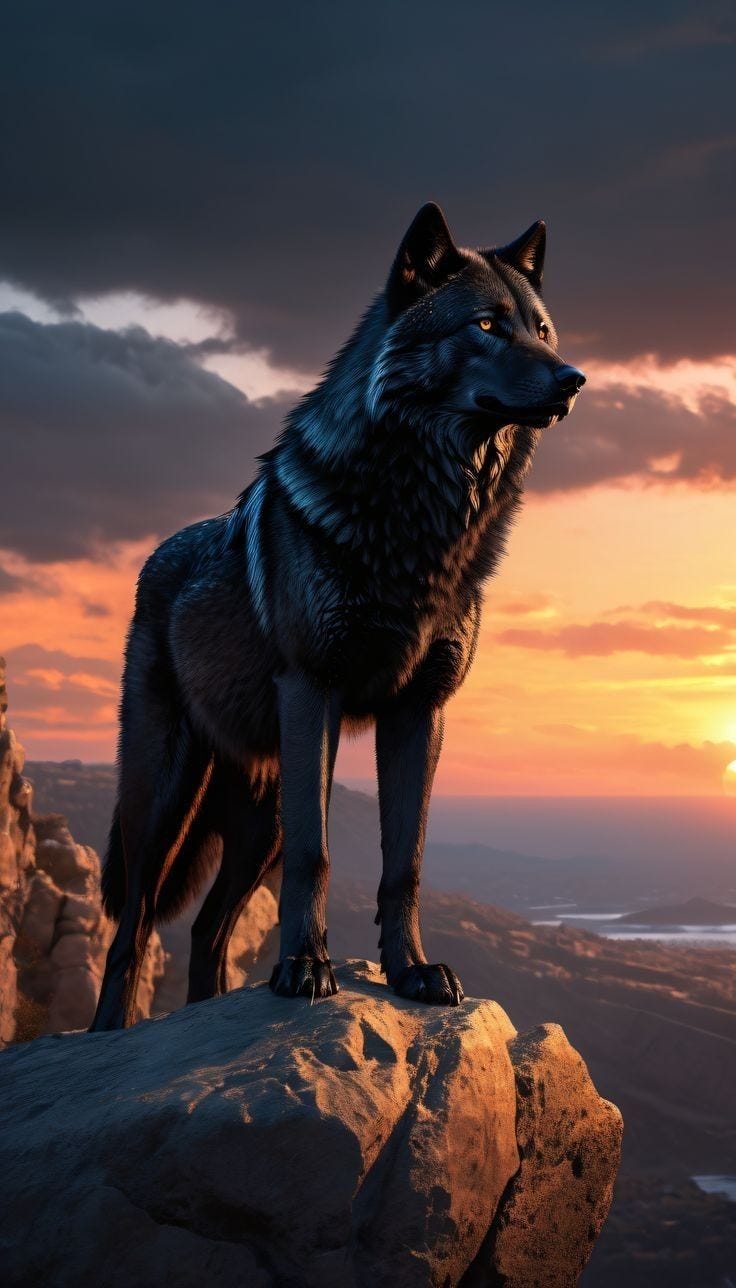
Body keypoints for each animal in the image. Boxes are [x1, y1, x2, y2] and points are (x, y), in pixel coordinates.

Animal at [90, 203, 585, 1030]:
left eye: (543, 331)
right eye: (486, 325)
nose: (573, 377)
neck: (424, 521)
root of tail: (155, 557)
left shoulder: (420, 710)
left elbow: (403, 862)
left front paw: (411, 972)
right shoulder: (312, 692)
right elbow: (319, 858)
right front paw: (302, 968)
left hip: (261, 819)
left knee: (206, 931)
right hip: (167, 797)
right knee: (134, 924)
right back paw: (106, 1033)